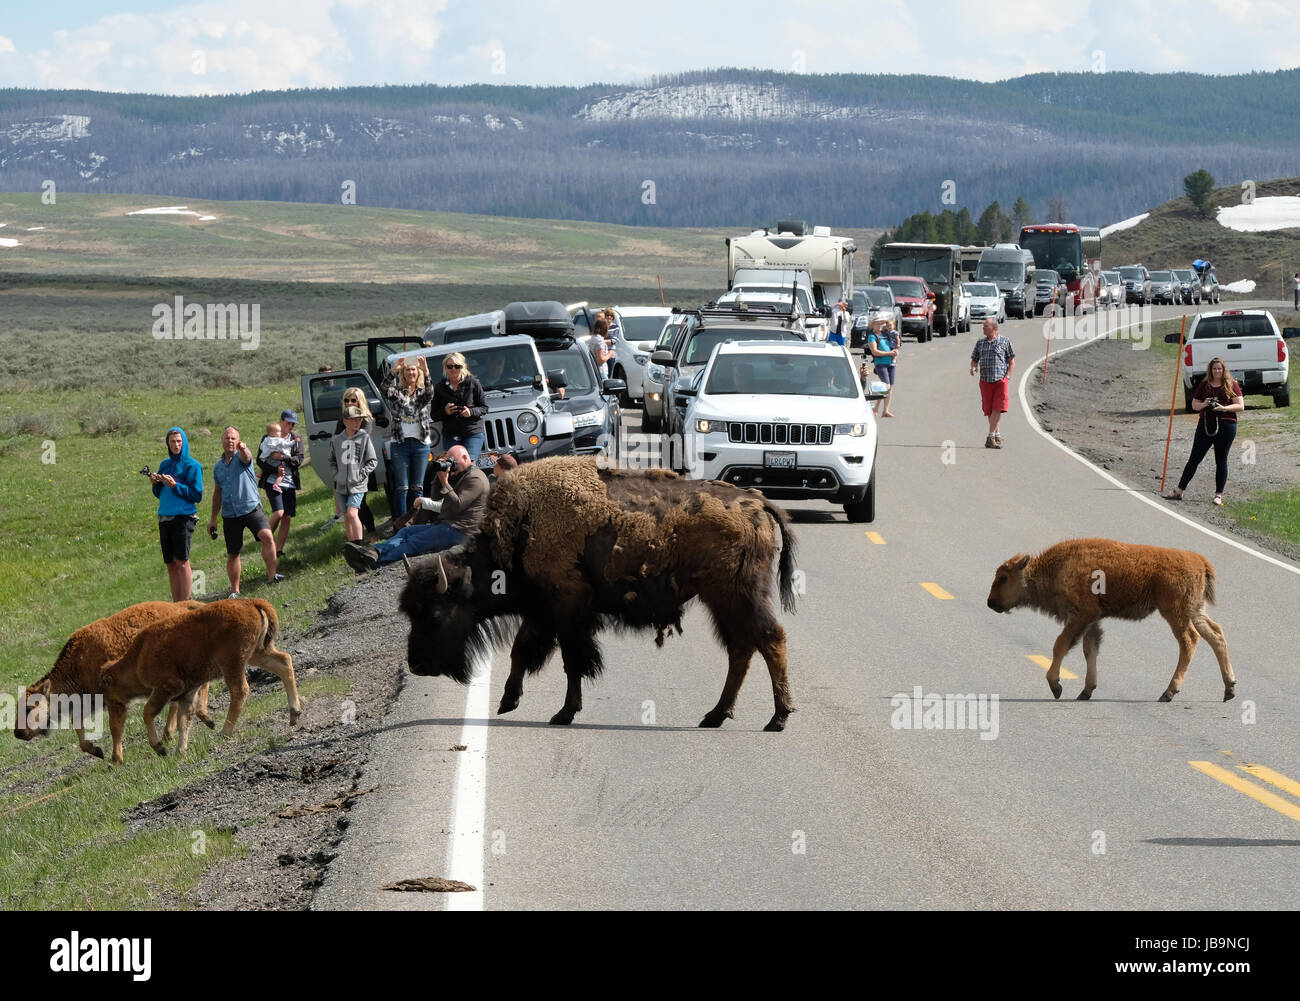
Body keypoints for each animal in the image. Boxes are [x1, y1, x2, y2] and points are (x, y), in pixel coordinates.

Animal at [399, 457, 797, 730]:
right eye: (410, 612)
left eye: (434, 613)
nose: (416, 665)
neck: (520, 529)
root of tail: (758, 502)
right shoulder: (543, 613)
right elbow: (521, 652)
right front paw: (508, 701)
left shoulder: (567, 611)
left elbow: (572, 661)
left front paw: (563, 713)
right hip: (722, 602)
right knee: (742, 649)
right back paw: (716, 715)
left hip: (735, 596)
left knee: (769, 639)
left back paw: (778, 718)